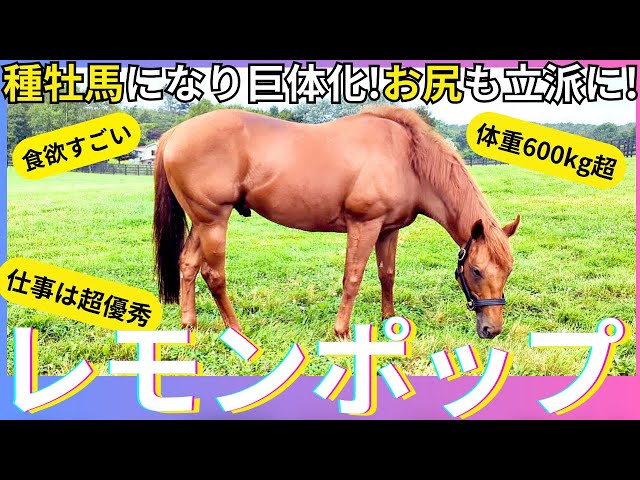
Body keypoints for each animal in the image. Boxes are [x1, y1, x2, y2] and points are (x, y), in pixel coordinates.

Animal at [152, 105, 520, 340]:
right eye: (476, 271)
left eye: (507, 271)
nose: (492, 330)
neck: (408, 158)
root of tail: (174, 134)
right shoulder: (364, 225)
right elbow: (353, 278)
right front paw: (341, 331)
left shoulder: (388, 230)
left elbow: (387, 275)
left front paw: (389, 322)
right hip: (214, 220)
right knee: (214, 274)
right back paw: (237, 331)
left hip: (202, 221)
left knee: (187, 264)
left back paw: (189, 324)